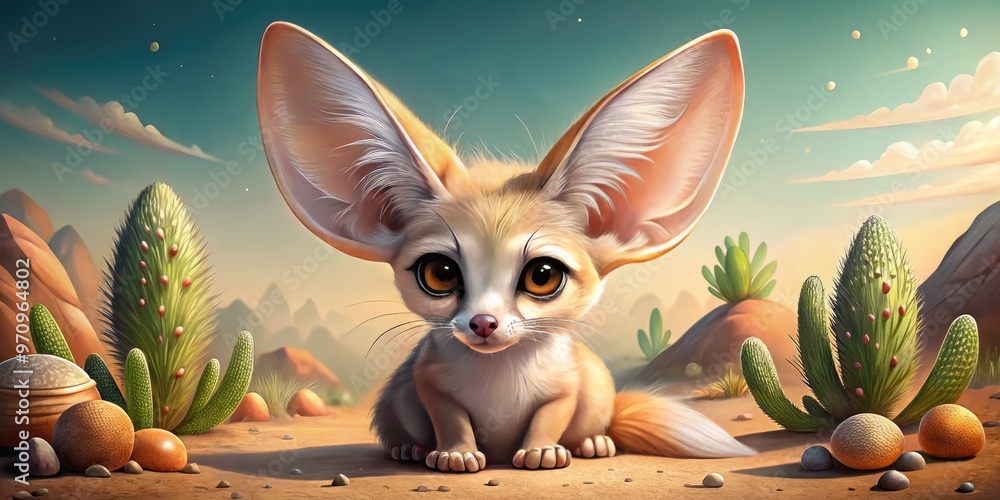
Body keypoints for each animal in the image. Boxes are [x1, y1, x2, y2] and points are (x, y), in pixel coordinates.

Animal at [256, 22, 753, 472]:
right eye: (440, 273)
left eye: (543, 276)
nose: (483, 323)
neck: (499, 376)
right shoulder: (428, 383)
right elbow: (451, 417)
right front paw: (456, 454)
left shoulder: (567, 388)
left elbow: (549, 416)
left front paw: (541, 452)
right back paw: (410, 449)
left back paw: (593, 443)